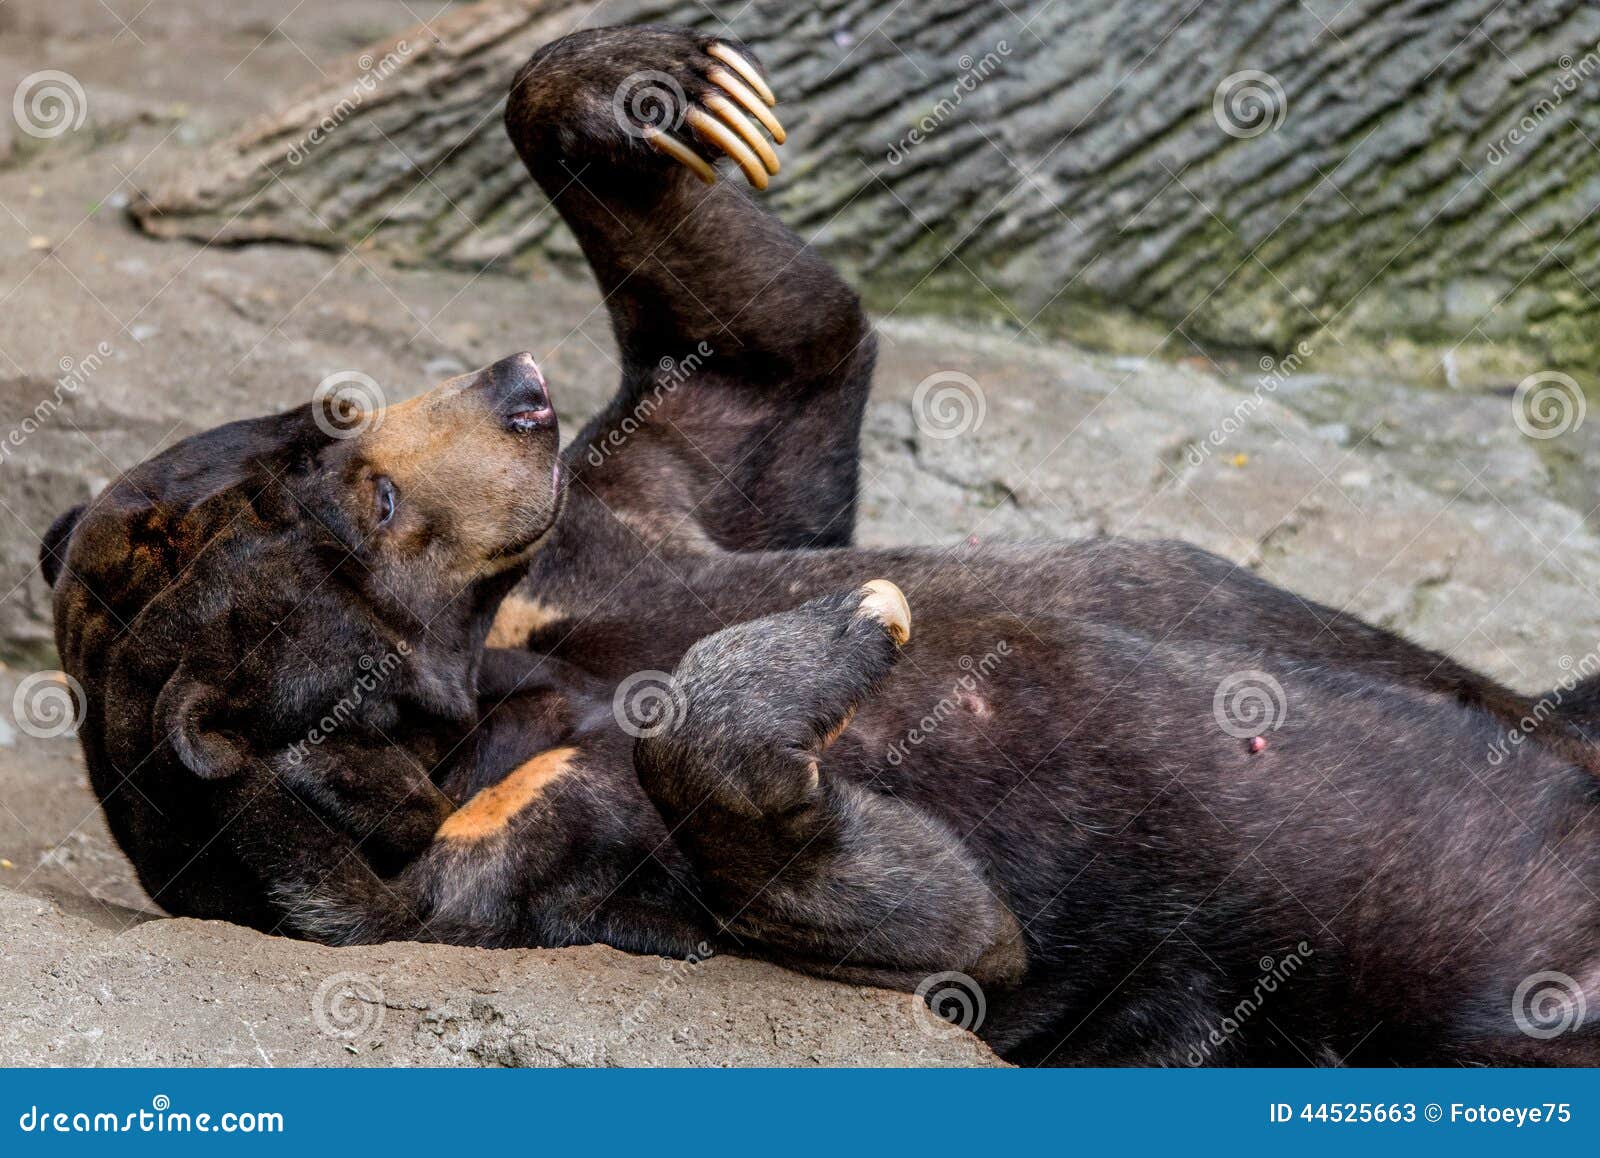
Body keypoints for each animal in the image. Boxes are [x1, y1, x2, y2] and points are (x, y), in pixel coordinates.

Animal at [40, 23, 1600, 1066]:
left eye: (336, 419)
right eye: (367, 497)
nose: (519, 388)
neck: (479, 681)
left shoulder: (614, 530)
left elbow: (770, 371)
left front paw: (663, 88)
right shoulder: (495, 865)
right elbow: (938, 926)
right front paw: (850, 633)